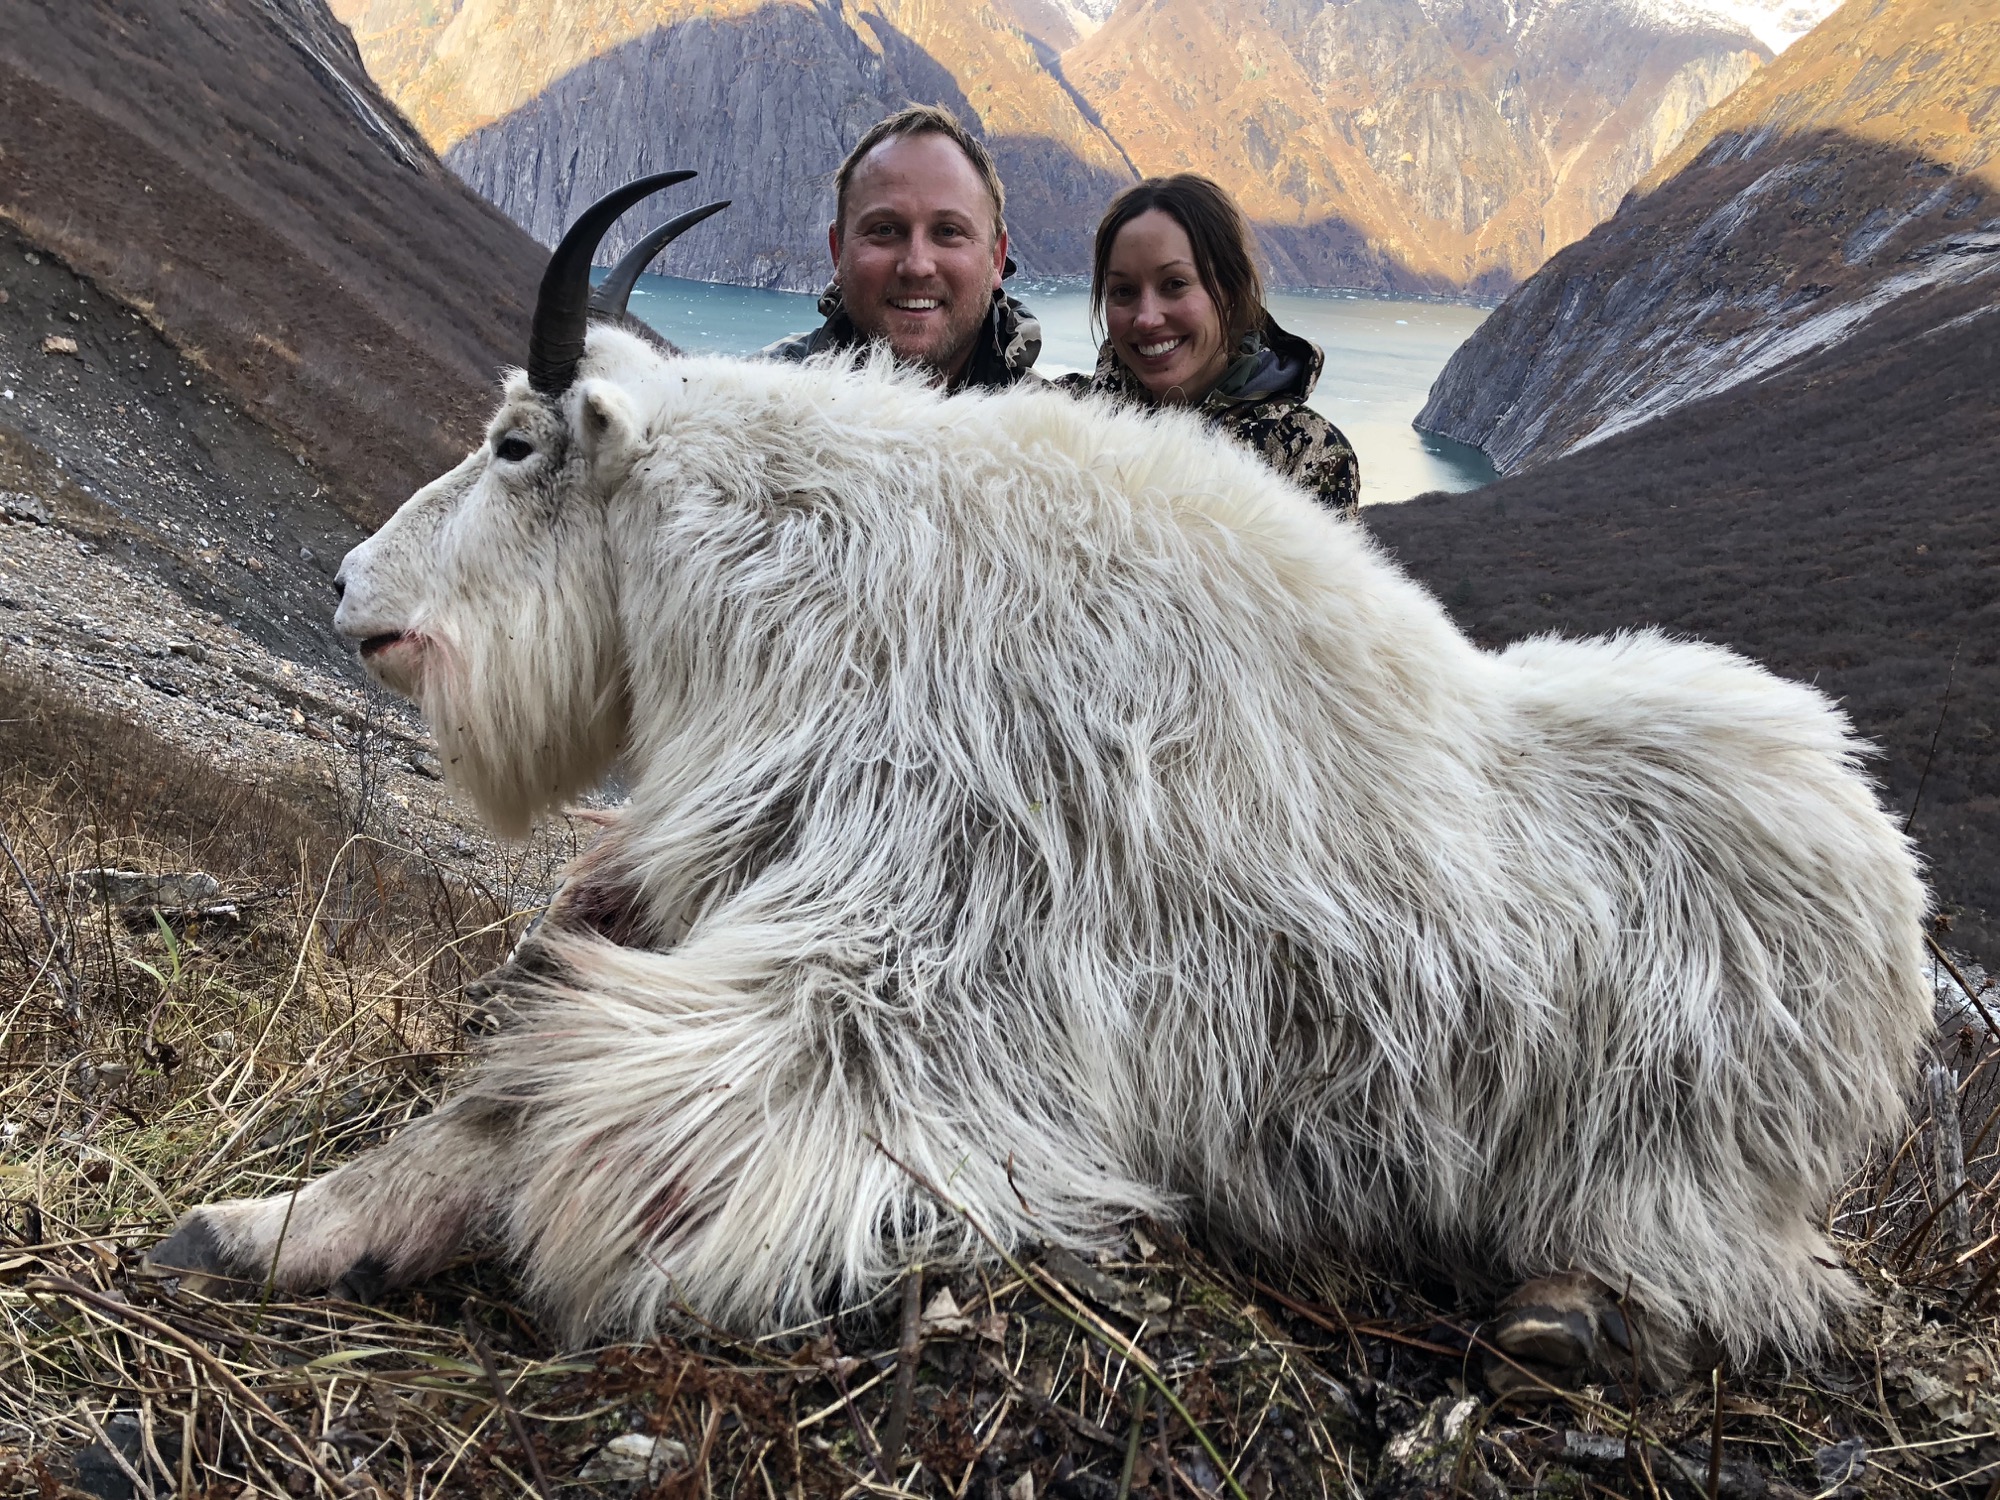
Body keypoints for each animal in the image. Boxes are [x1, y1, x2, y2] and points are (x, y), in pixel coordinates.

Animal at [149, 175, 1931, 1380]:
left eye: (517, 446)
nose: (346, 587)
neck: (823, 589)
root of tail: (1892, 912)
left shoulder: (909, 987)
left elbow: (550, 1116)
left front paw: (264, 1225)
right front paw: (259, 1223)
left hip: (1676, 1153)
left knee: (1749, 1276)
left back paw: (1575, 1319)